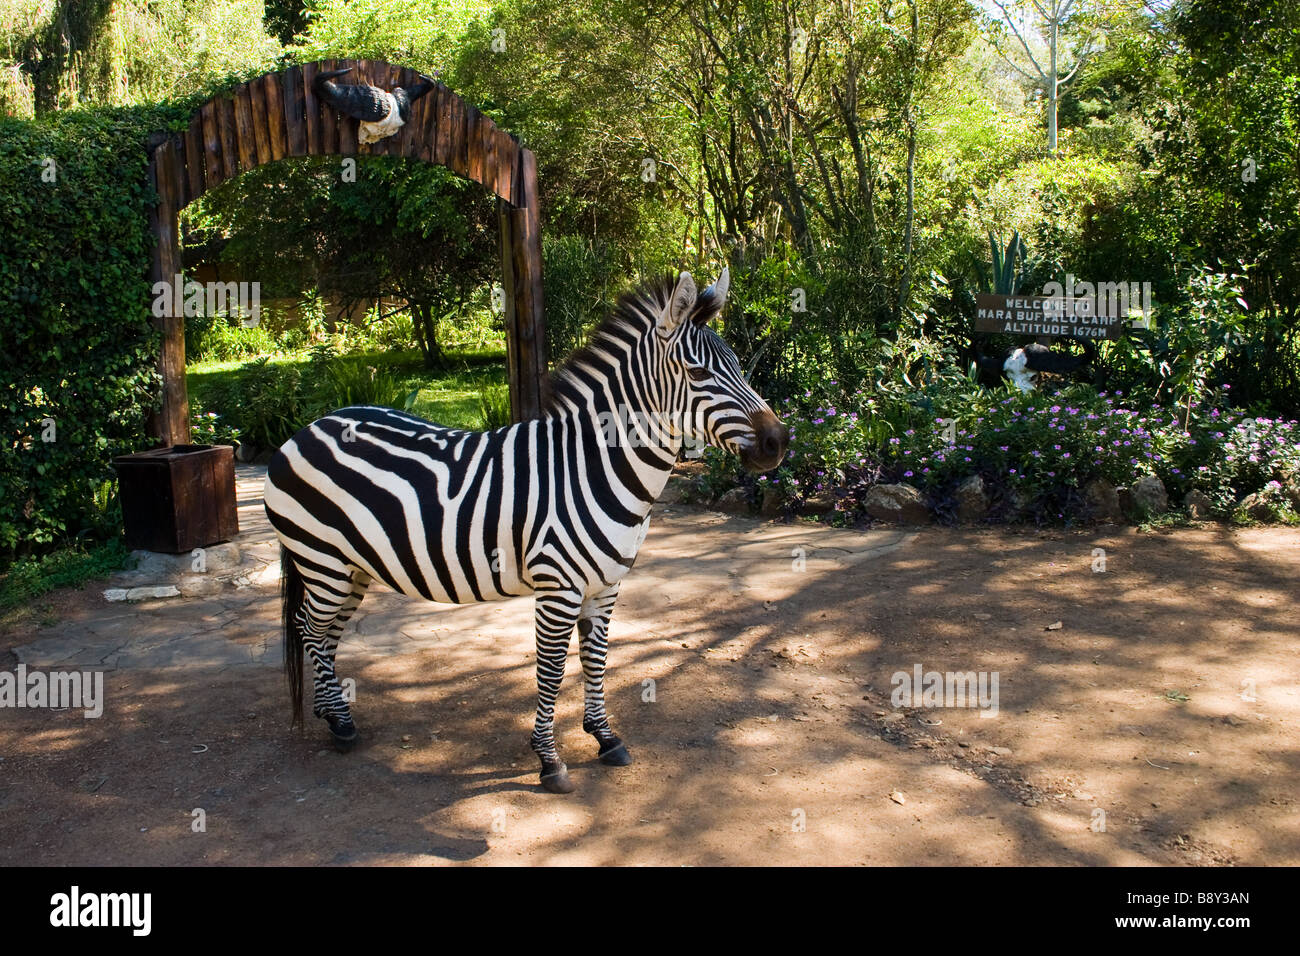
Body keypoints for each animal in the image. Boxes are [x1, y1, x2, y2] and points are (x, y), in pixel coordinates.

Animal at [264, 268, 789, 793]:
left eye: (739, 365)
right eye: (698, 374)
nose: (779, 442)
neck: (593, 466)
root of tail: (308, 427)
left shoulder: (606, 585)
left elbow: (596, 659)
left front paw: (605, 737)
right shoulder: (558, 587)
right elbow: (552, 670)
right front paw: (549, 759)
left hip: (352, 568)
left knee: (324, 634)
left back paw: (332, 712)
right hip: (322, 562)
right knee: (309, 628)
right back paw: (339, 724)